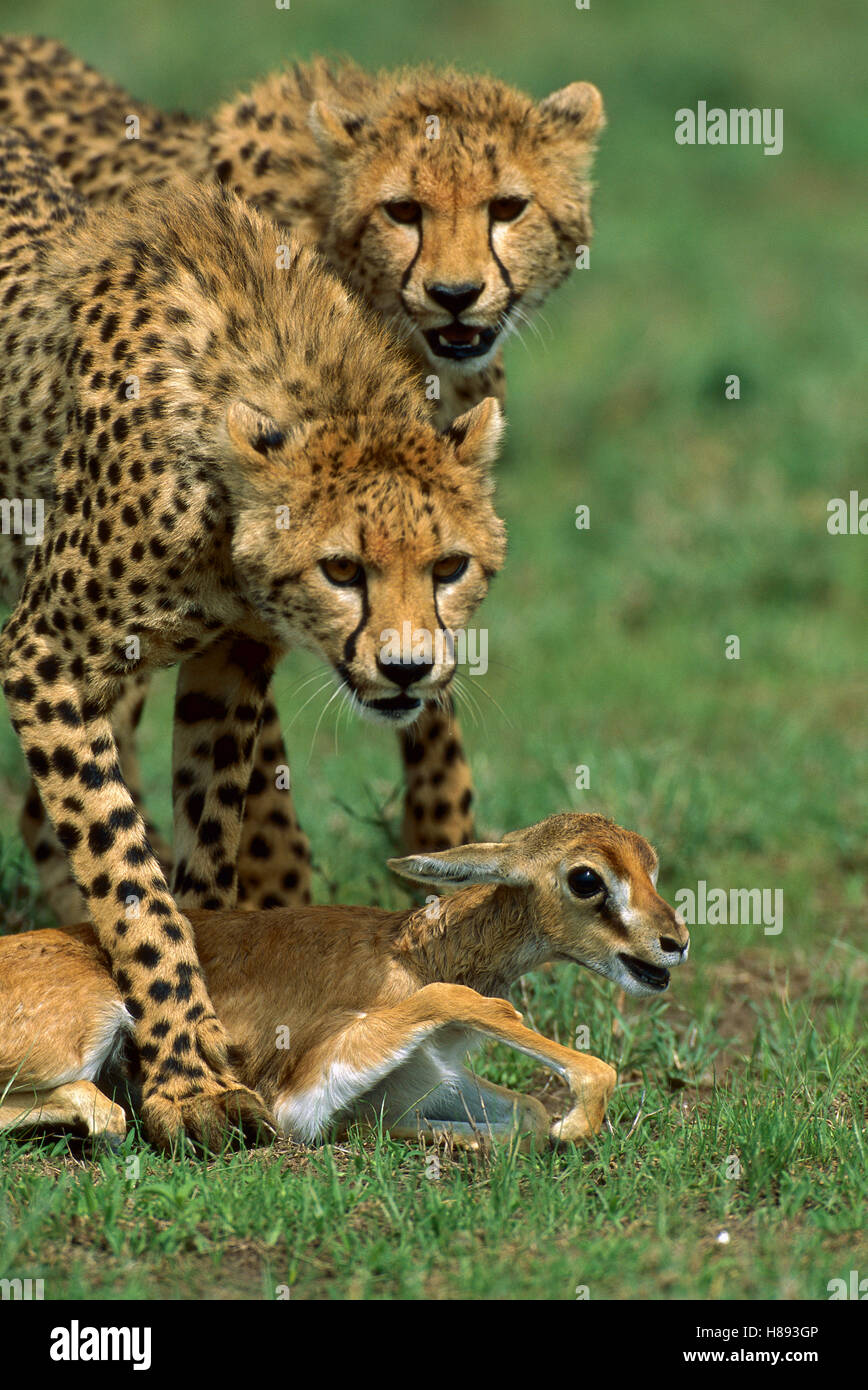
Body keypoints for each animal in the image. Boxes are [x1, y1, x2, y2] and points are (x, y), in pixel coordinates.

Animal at [0, 33, 606, 907]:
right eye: (403, 210)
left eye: (507, 206)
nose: (456, 295)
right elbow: (258, 790)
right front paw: (279, 897)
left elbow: (431, 696)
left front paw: (448, 843)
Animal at [0, 126, 507, 1149]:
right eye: (342, 569)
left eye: (449, 566)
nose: (407, 669)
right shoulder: (45, 659)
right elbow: (130, 874)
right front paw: (188, 1078)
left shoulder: (226, 666)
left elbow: (202, 852)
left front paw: (188, 1043)